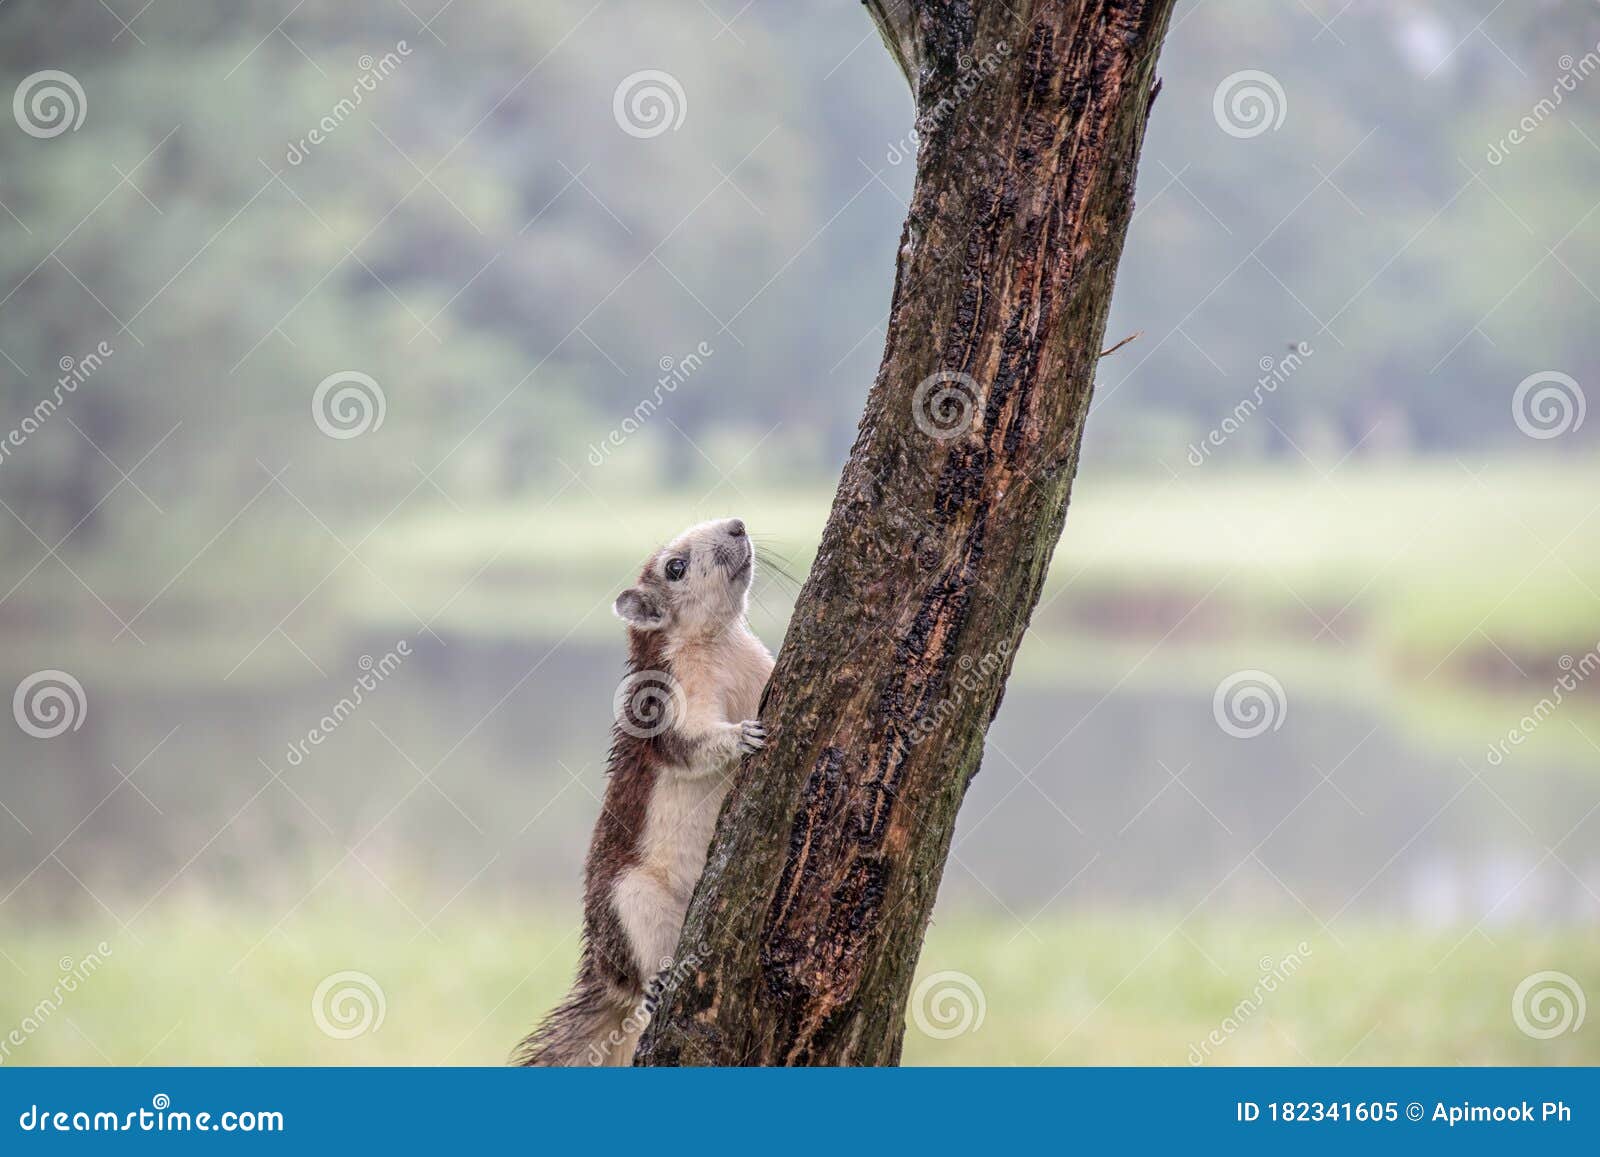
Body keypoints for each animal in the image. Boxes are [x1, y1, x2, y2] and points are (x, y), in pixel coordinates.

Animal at [513, 517, 774, 1066]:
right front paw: (740, 737)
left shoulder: (762, 668)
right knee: (638, 972)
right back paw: (652, 982)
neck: (722, 645)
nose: (737, 525)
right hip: (630, 900)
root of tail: (603, 971)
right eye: (675, 567)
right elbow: (691, 745)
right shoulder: (664, 703)